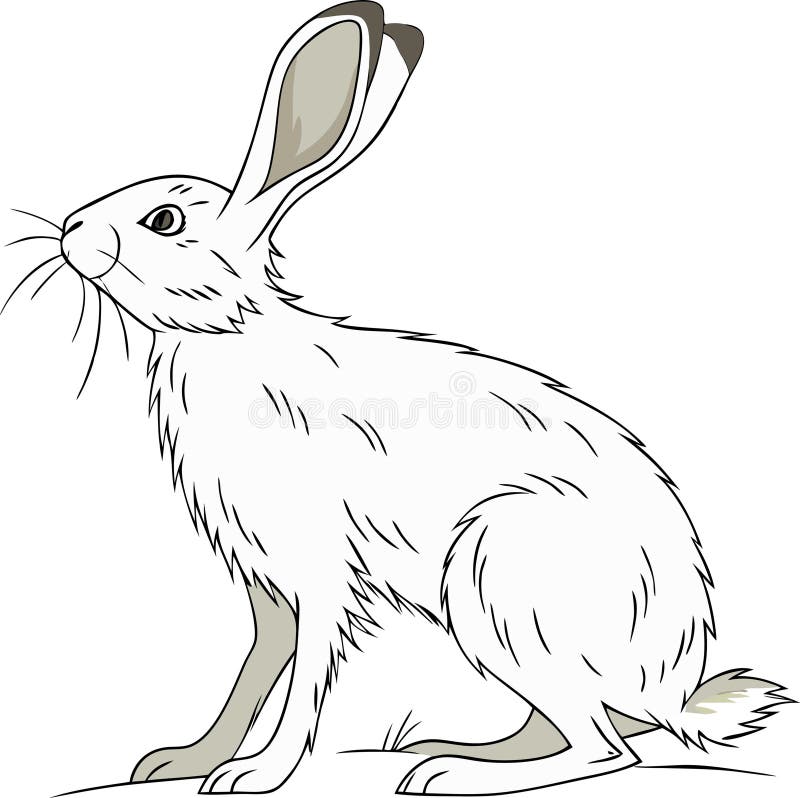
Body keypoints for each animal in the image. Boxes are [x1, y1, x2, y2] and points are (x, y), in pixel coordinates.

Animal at [10, 1, 791, 794]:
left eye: (164, 221)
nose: (71, 228)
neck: (230, 331)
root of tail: (670, 684)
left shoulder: (319, 567)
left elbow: (306, 678)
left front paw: (257, 775)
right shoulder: (268, 582)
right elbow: (256, 668)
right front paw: (186, 762)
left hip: (497, 576)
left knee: (604, 748)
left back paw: (454, 774)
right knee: (570, 726)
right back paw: (454, 749)